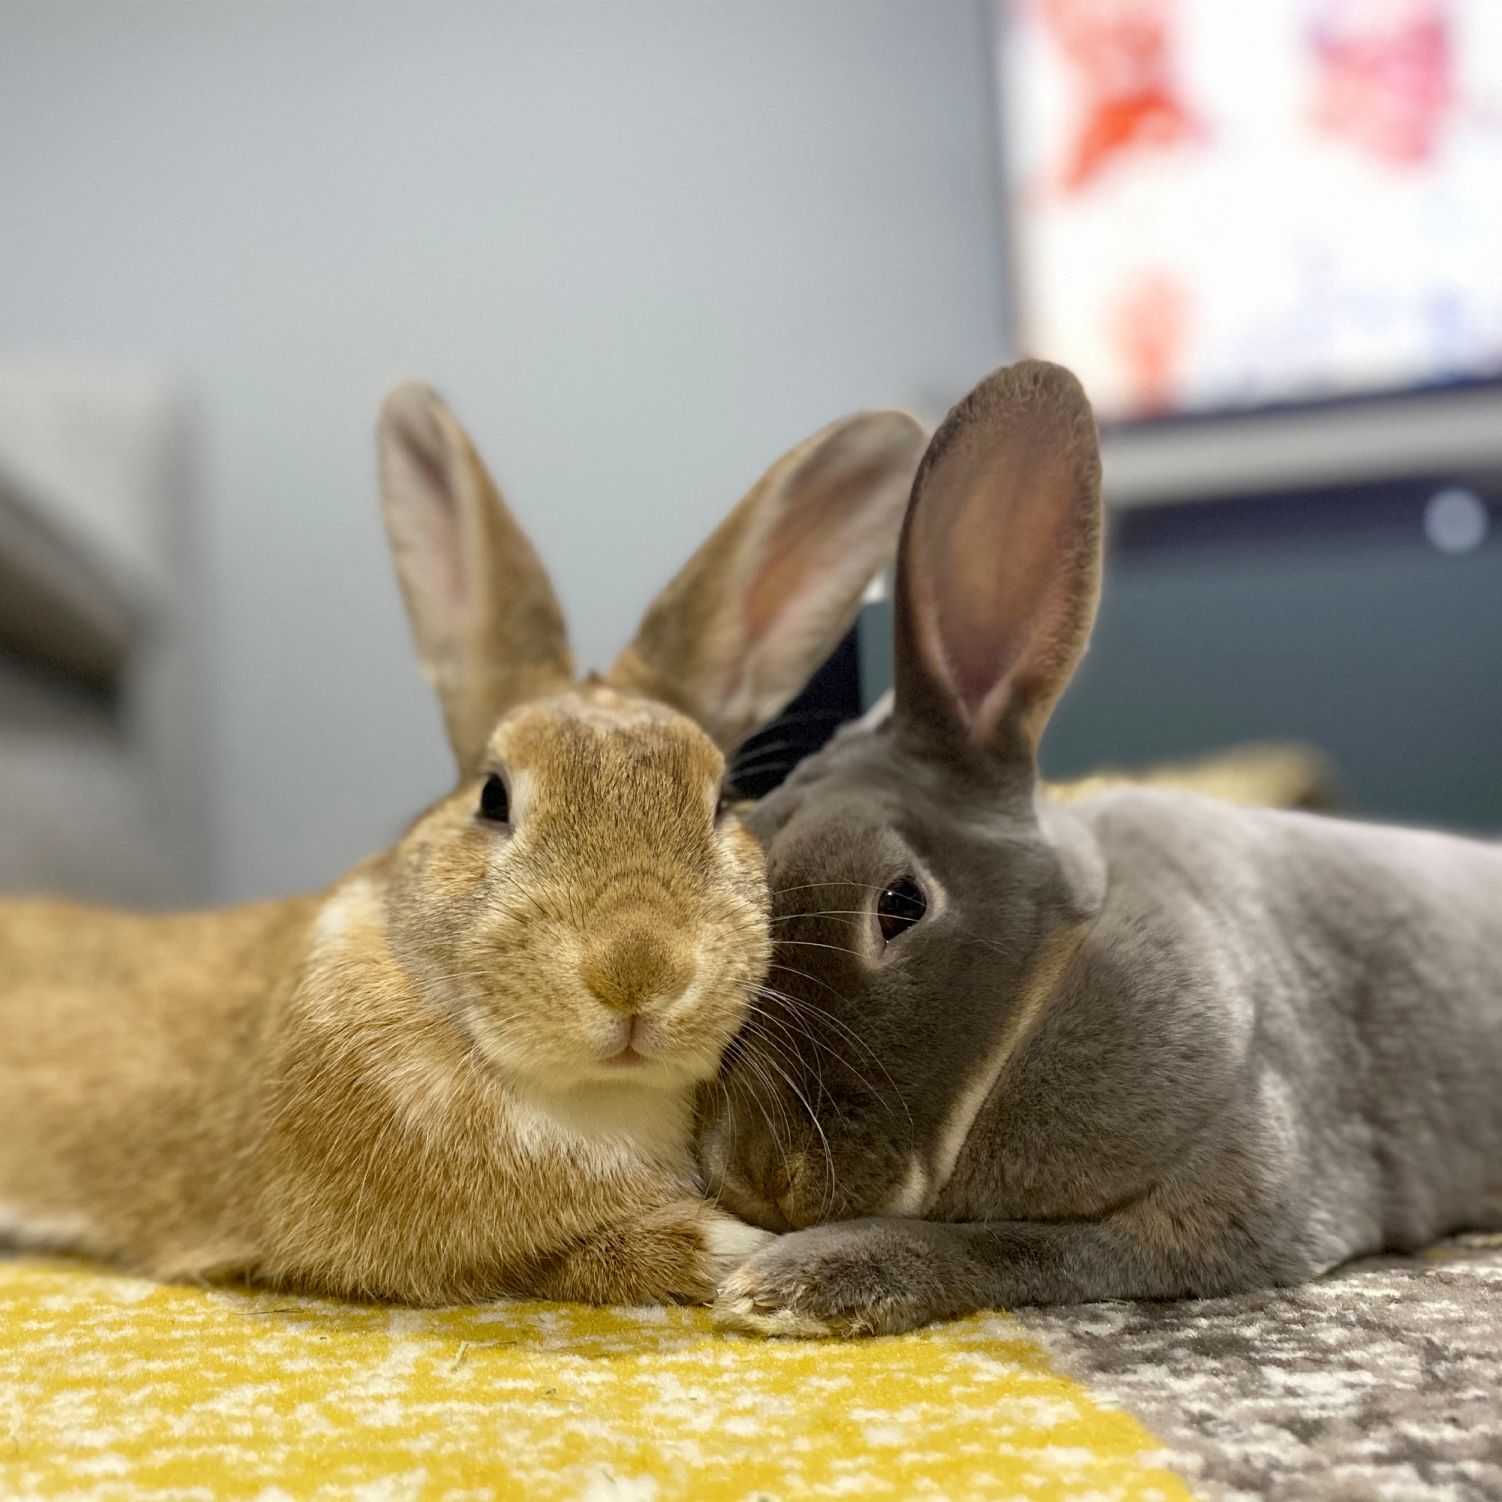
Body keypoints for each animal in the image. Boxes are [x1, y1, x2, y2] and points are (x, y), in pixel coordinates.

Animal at [700, 359, 1502, 1337]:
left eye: (901, 903)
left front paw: (793, 1285)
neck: (1050, 975)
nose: (759, 1175)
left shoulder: (1213, 1205)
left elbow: (1009, 1250)